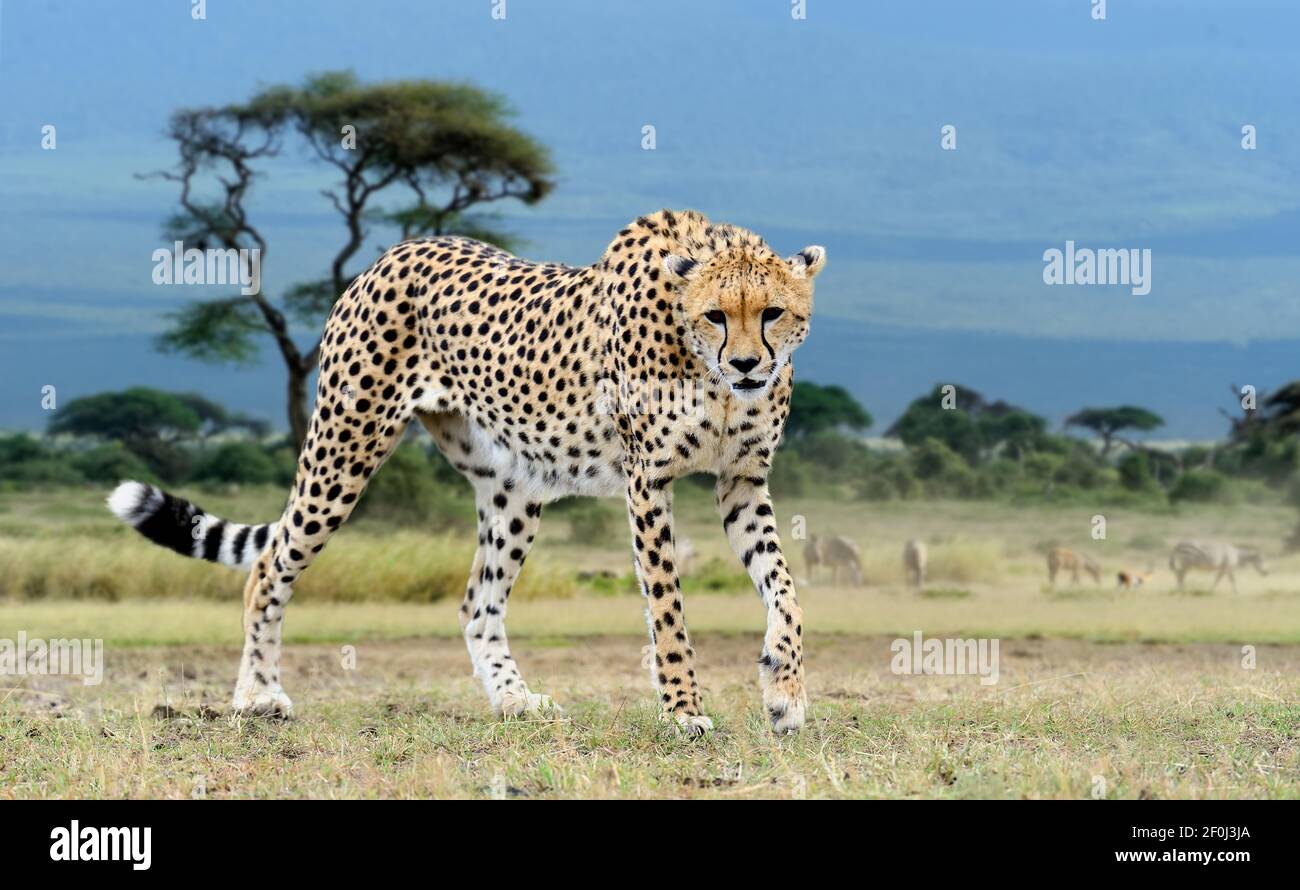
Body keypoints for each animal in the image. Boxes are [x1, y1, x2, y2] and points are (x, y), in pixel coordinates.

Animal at [108, 209, 826, 735]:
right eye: (715, 314)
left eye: (772, 312)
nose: (747, 365)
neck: (711, 374)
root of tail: (396, 251)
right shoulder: (647, 482)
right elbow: (669, 609)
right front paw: (683, 710)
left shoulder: (742, 481)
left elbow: (786, 590)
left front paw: (784, 690)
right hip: (345, 447)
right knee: (268, 566)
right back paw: (258, 695)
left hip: (513, 487)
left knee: (477, 601)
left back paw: (513, 699)